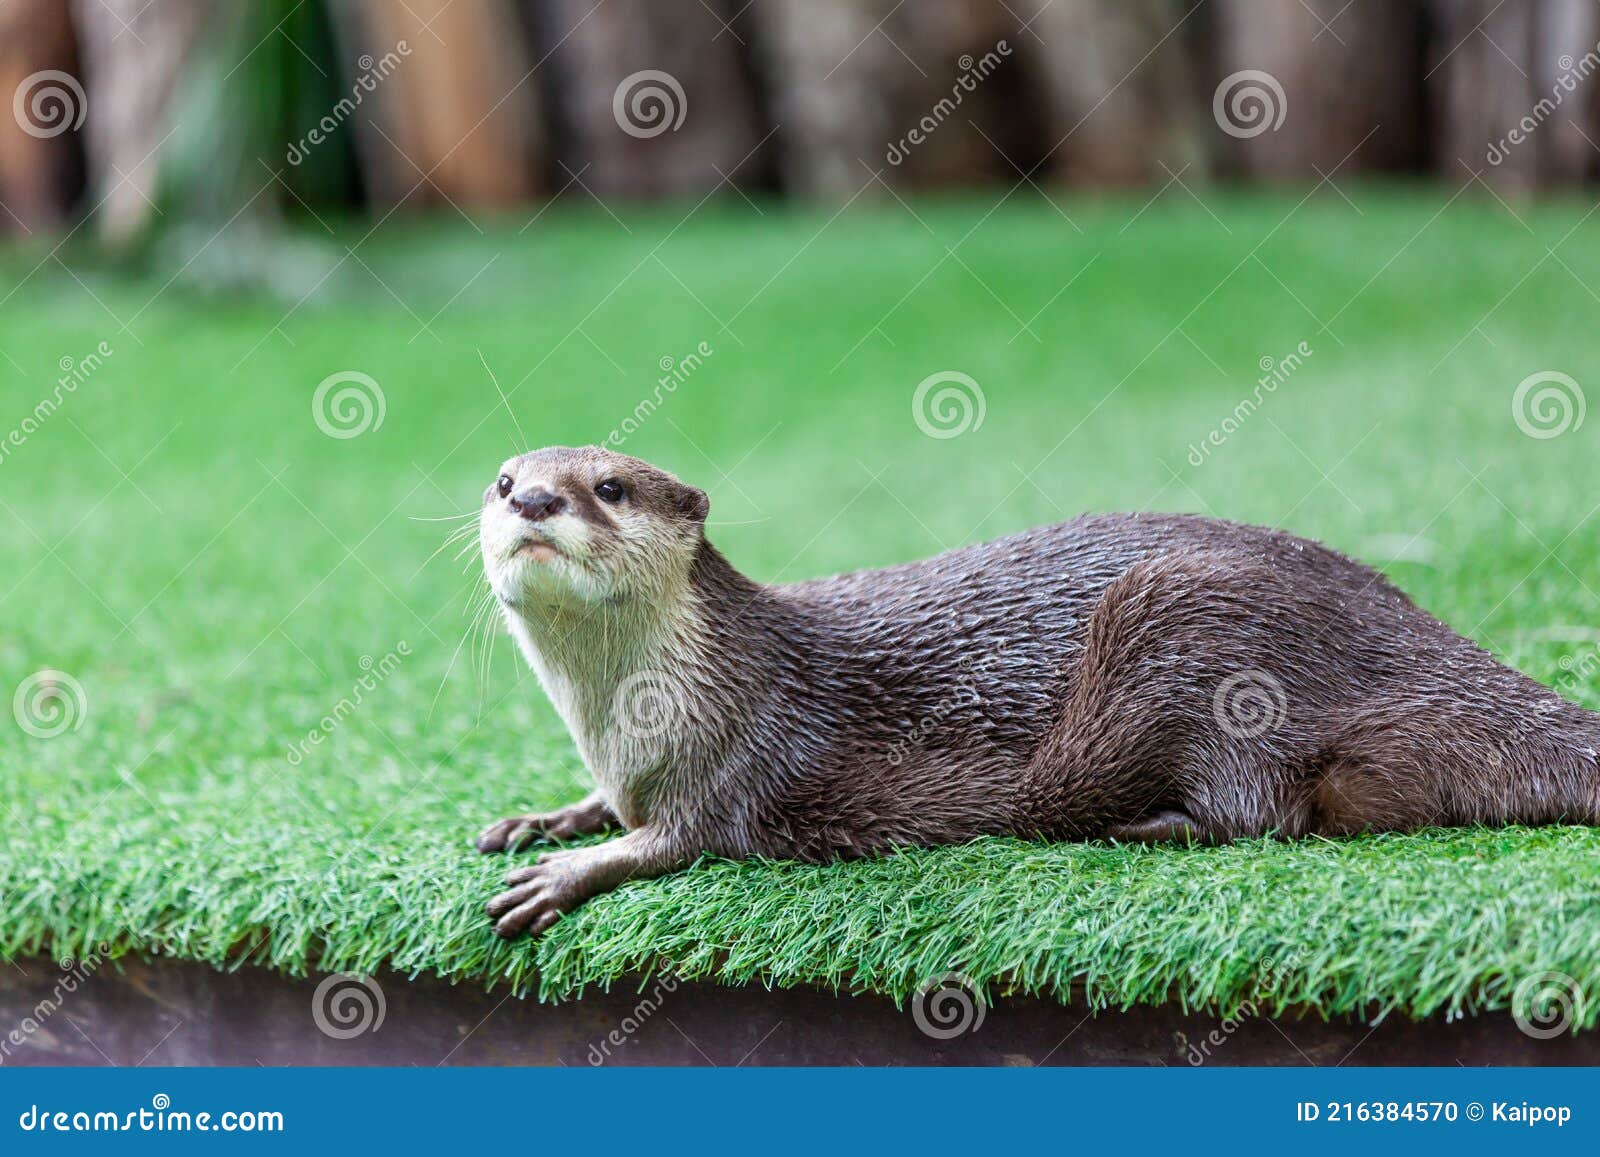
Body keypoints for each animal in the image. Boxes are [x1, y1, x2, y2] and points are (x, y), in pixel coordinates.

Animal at [474, 445, 1600, 938]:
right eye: (503, 478)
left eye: (609, 486)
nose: (534, 500)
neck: (627, 721)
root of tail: (1418, 637)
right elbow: (608, 806)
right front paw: (544, 818)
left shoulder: (744, 752)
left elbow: (678, 840)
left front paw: (567, 870)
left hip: (1188, 616)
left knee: (1266, 808)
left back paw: (1138, 826)